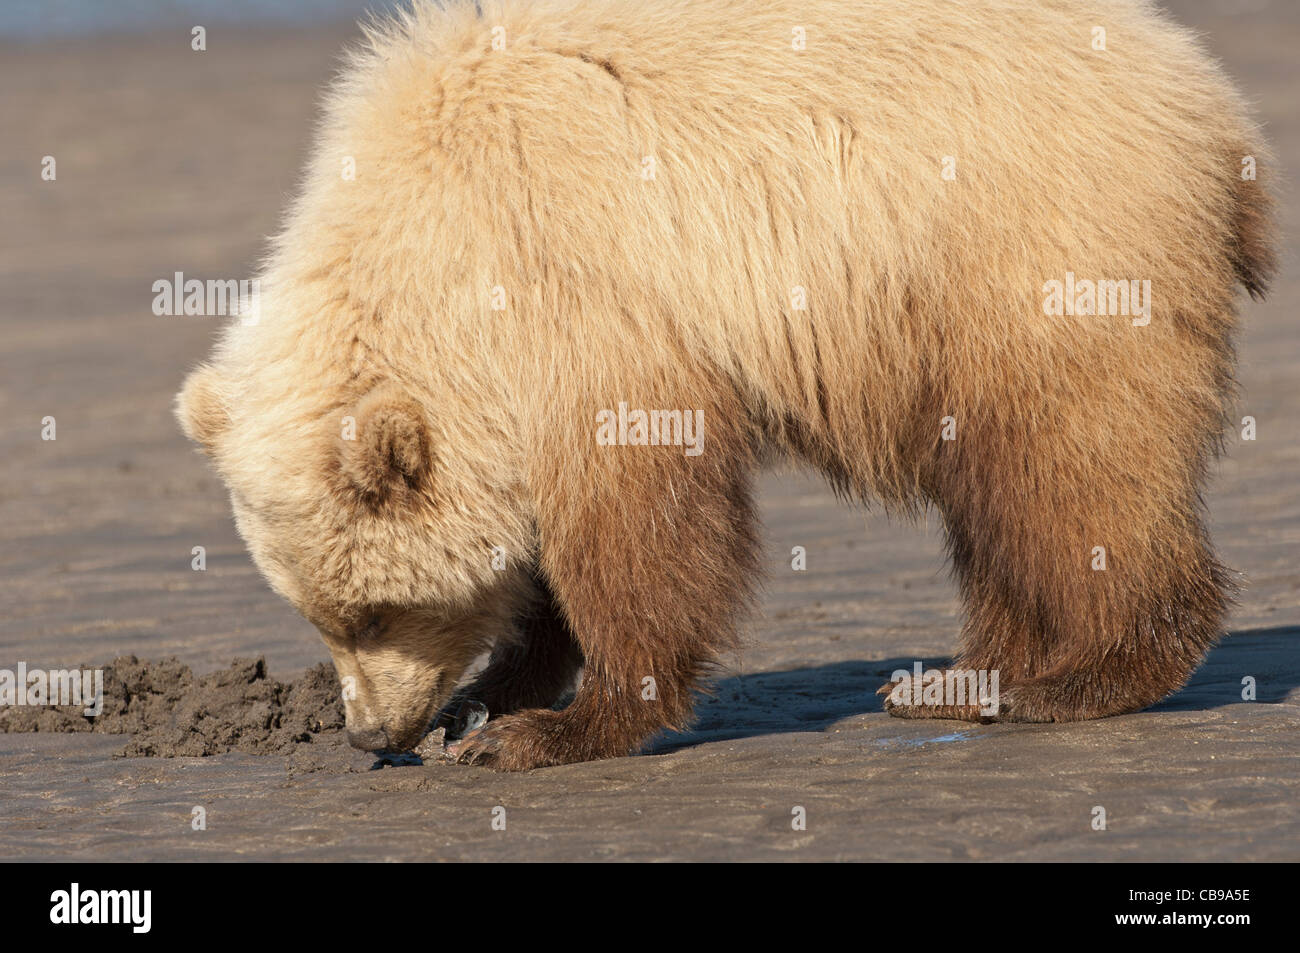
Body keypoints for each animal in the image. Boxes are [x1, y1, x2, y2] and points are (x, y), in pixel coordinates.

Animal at [176, 0, 1276, 770]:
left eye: (372, 611)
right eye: (315, 614)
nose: (366, 731)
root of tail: (1222, 115)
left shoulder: (579, 284)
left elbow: (637, 523)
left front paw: (544, 728)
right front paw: (486, 699)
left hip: (1032, 251)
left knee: (1070, 460)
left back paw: (1075, 676)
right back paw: (962, 675)